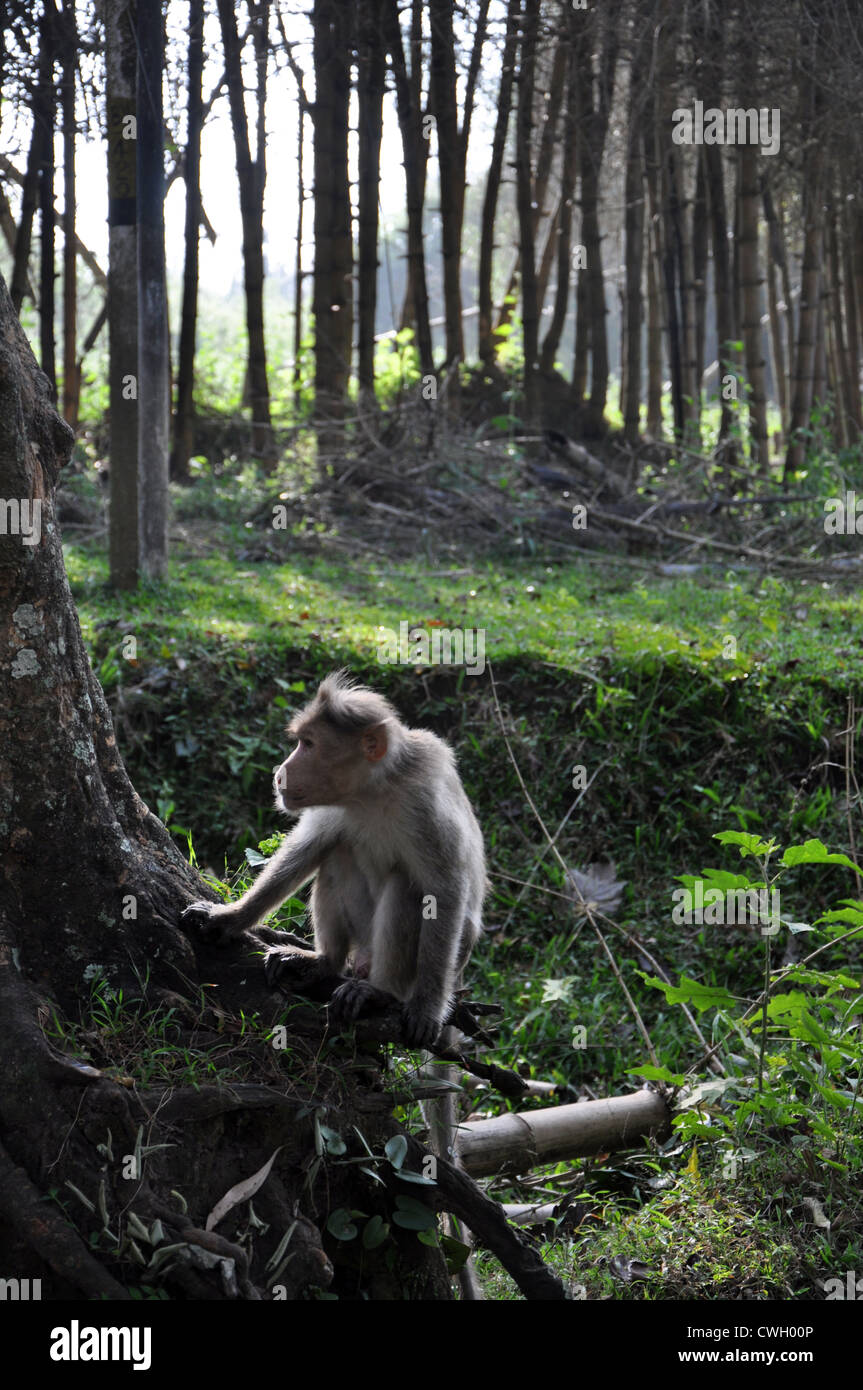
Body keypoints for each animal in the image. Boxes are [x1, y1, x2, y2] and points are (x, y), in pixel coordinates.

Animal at [181, 670, 486, 1050]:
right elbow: (310, 846)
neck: (370, 793)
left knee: (407, 886)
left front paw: (427, 1008)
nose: (280, 773)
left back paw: (380, 993)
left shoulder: (425, 806)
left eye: (310, 744)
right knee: (338, 855)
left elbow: (444, 892)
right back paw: (325, 962)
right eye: (301, 741)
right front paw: (228, 918)